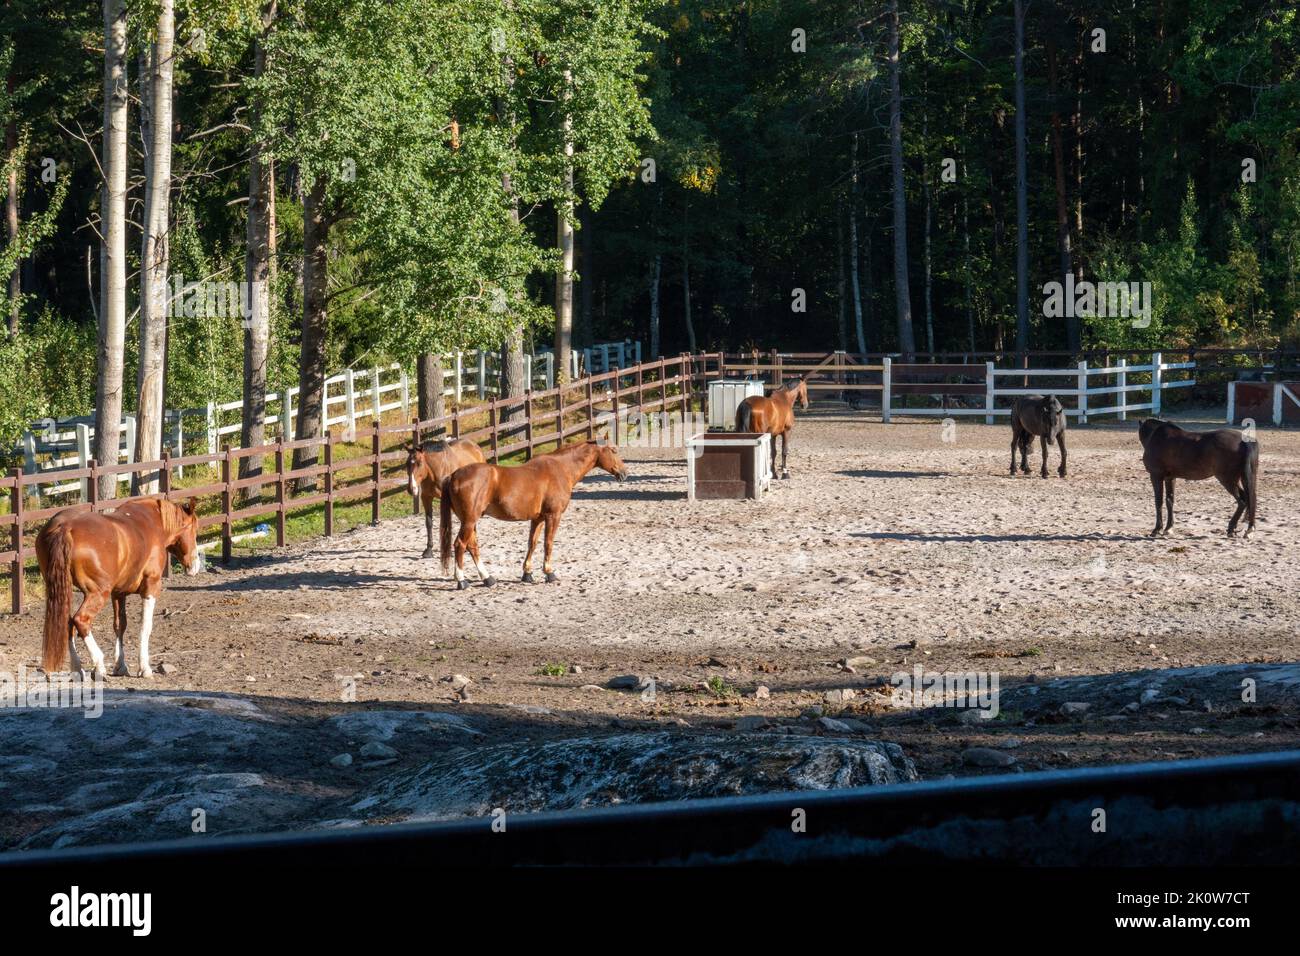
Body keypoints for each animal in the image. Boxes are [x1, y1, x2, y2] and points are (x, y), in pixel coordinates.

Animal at [37, 497, 202, 680]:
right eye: (194, 529)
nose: (195, 565)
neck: (152, 523)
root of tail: (66, 527)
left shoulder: (118, 593)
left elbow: (119, 625)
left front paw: (120, 665)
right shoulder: (151, 587)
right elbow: (145, 626)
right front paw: (144, 668)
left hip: (63, 592)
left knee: (68, 624)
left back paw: (77, 669)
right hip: (98, 593)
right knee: (80, 620)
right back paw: (99, 665)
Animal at [439, 440, 628, 589]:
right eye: (614, 451)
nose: (624, 473)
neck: (561, 468)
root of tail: (453, 476)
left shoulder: (538, 519)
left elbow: (533, 543)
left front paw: (527, 574)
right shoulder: (553, 516)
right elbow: (548, 543)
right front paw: (549, 573)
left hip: (469, 521)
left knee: (472, 546)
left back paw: (488, 579)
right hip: (469, 521)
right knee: (460, 545)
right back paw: (462, 581)